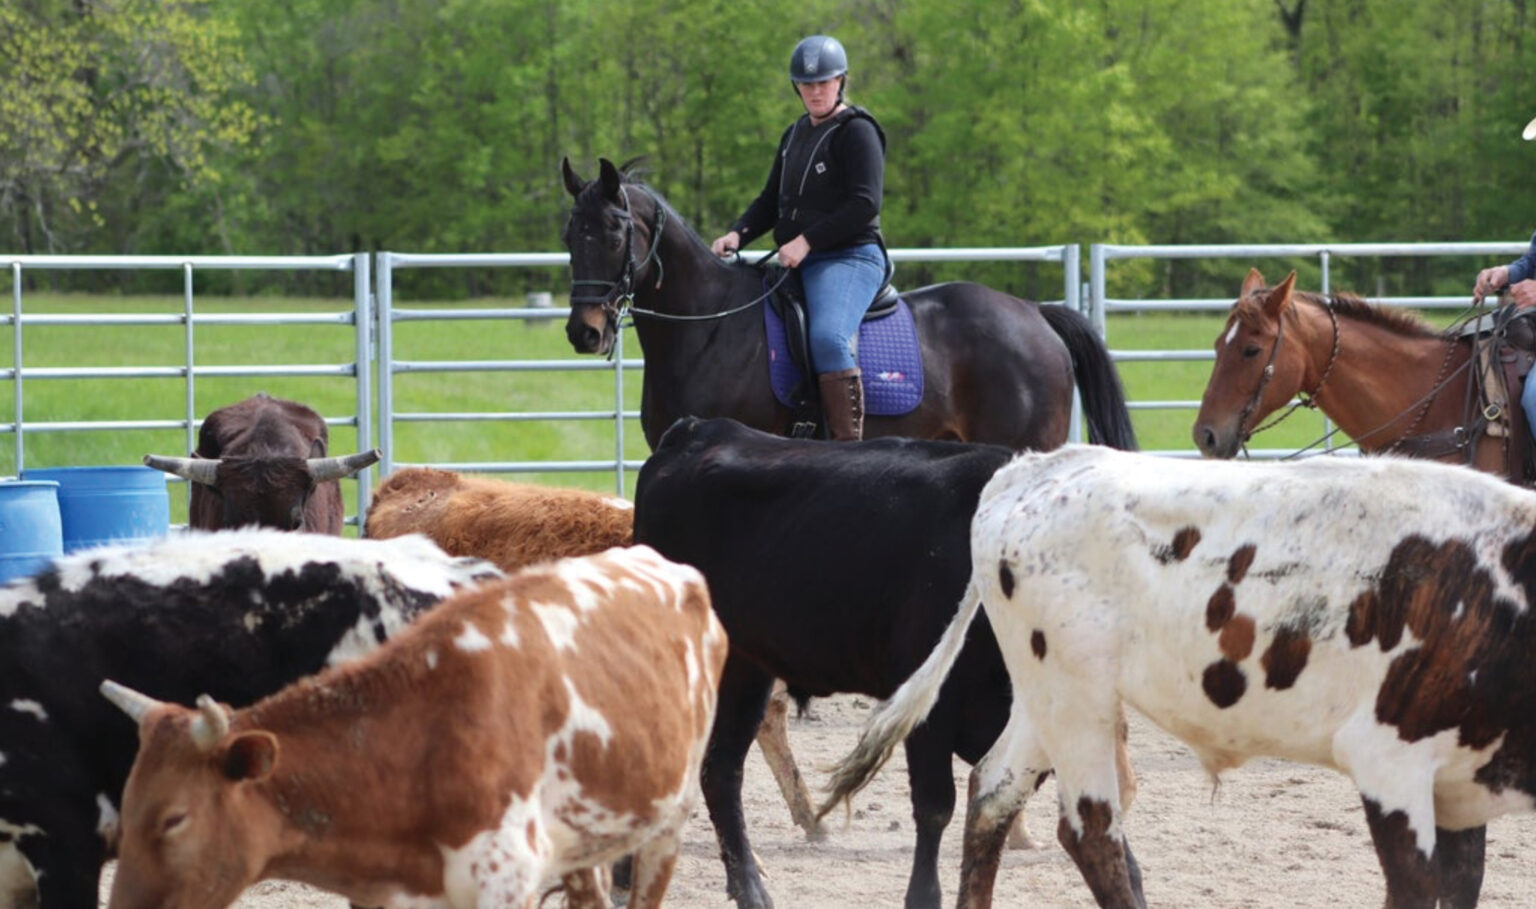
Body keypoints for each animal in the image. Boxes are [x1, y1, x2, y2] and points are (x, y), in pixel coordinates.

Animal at [630, 417, 1133, 909]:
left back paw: (742, 887)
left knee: (721, 770)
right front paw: (923, 895)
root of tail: (697, 430)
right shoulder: (931, 705)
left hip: (746, 666)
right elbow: (935, 806)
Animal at [827, 445, 1536, 908]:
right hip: (1075, 695)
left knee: (994, 790)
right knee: (1089, 829)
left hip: (1042, 694)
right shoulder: (1389, 764)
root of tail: (1034, 467)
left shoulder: (1462, 783)